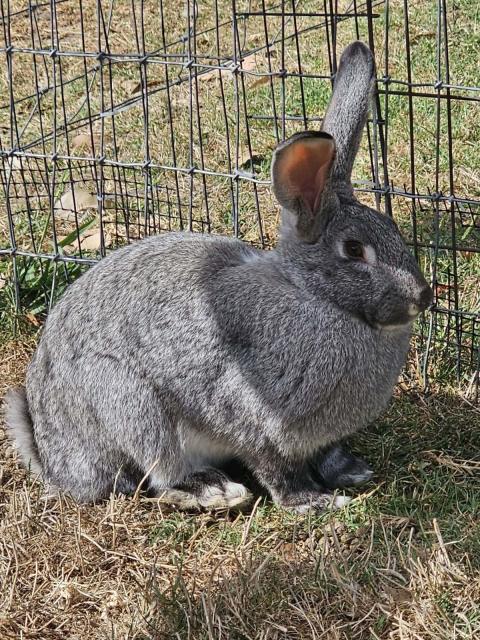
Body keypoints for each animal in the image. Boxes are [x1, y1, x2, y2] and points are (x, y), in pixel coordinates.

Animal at [5, 42, 433, 513]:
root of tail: (54, 455)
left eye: (393, 230)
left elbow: (325, 453)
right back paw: (214, 491)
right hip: (128, 403)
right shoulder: (252, 416)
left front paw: (350, 471)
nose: (424, 296)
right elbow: (275, 468)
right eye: (354, 250)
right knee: (157, 475)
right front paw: (312, 502)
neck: (311, 295)